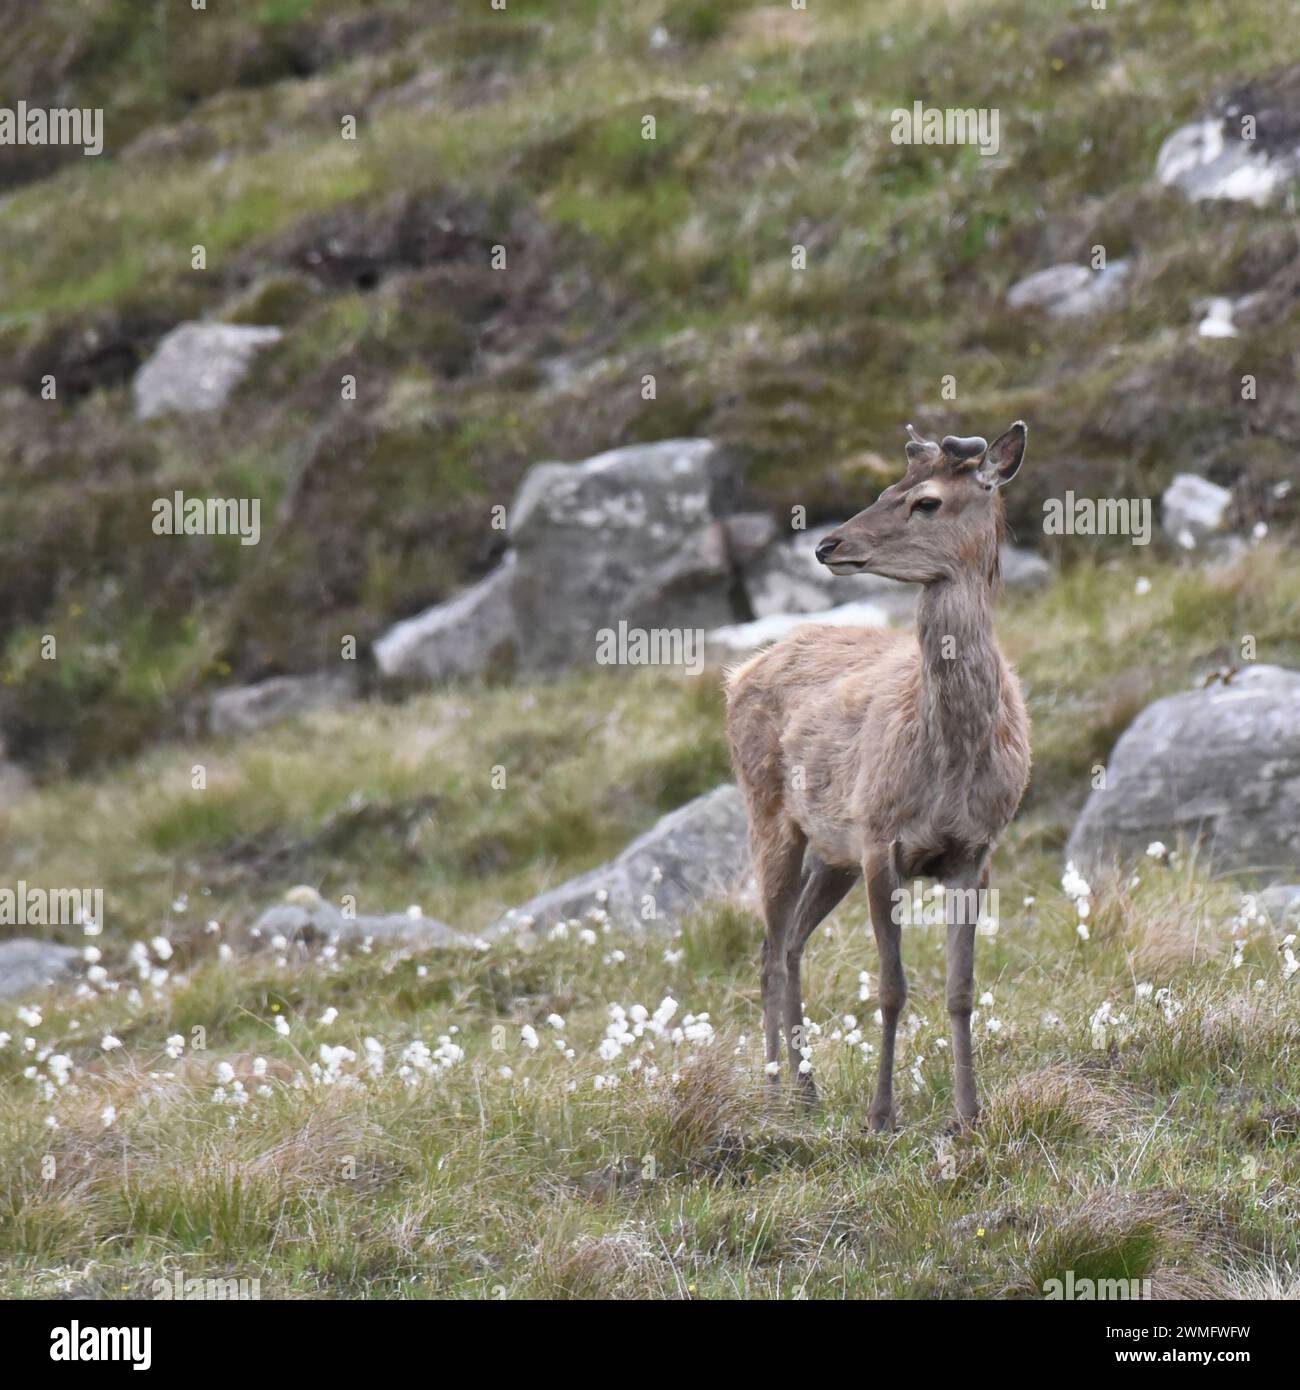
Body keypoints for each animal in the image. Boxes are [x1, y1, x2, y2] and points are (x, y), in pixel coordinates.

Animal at [725, 421, 1032, 1131]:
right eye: (885, 486)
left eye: (926, 501)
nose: (828, 543)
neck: (951, 756)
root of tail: (741, 671)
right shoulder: (879, 840)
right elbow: (891, 988)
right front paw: (881, 1115)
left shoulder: (974, 852)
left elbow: (961, 989)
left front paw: (969, 1114)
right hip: (770, 817)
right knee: (767, 952)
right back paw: (774, 1096)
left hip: (831, 852)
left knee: (791, 943)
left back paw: (807, 1090)